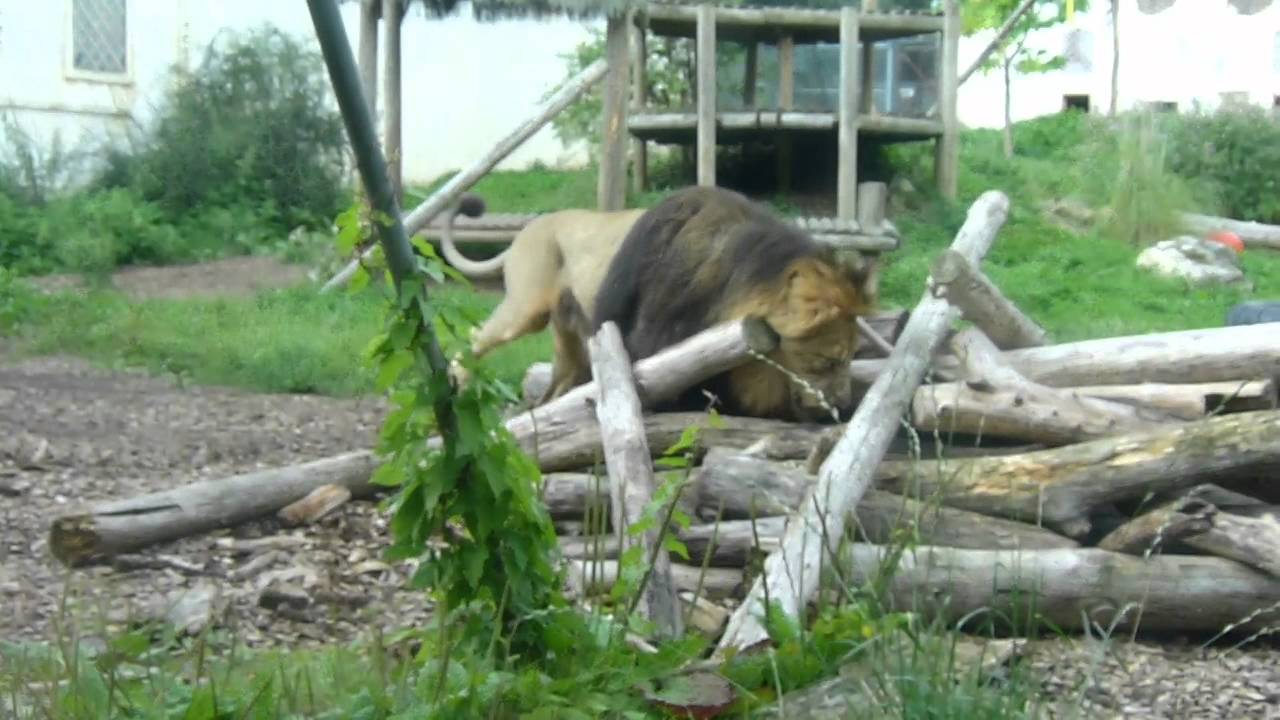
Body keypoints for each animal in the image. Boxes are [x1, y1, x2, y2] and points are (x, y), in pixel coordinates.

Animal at [438, 193, 646, 403]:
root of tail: (526, 231)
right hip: (527, 310)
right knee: (476, 334)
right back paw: (459, 383)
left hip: (564, 328)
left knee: (557, 387)